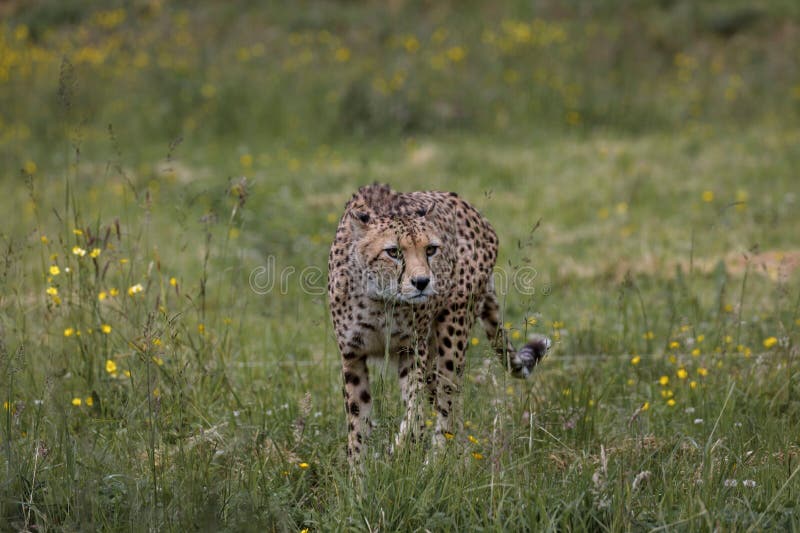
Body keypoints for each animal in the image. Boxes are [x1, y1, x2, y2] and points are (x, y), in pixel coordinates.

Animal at [327, 183, 550, 464]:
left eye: (431, 250)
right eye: (393, 252)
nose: (422, 282)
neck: (382, 300)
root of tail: (470, 208)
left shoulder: (412, 350)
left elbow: (414, 413)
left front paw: (401, 449)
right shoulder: (352, 355)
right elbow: (358, 423)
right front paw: (358, 472)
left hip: (452, 328)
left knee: (449, 399)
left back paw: (437, 459)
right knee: (445, 401)